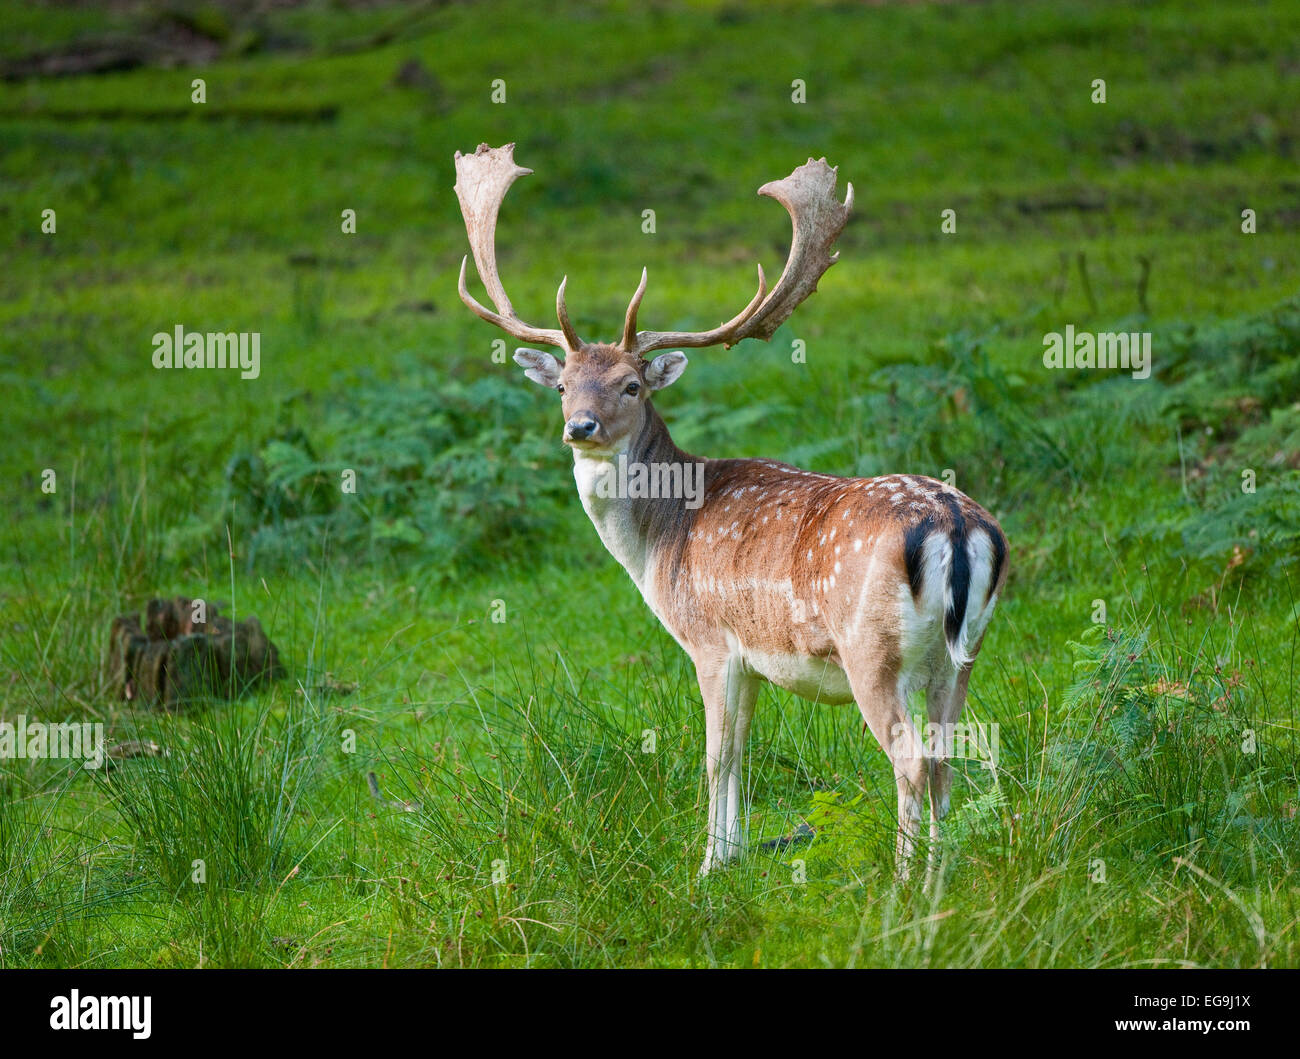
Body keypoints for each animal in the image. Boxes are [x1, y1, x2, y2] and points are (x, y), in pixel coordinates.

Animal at [452, 143, 1009, 879]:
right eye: (565, 384)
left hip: (872, 650)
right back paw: (941, 878)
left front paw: (707, 867)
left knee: (913, 762)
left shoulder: (709, 638)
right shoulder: (752, 658)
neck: (660, 542)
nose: (581, 427)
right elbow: (742, 752)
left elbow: (715, 756)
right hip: (962, 654)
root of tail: (957, 523)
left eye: (632, 384)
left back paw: (901, 884)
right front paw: (734, 854)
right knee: (949, 760)